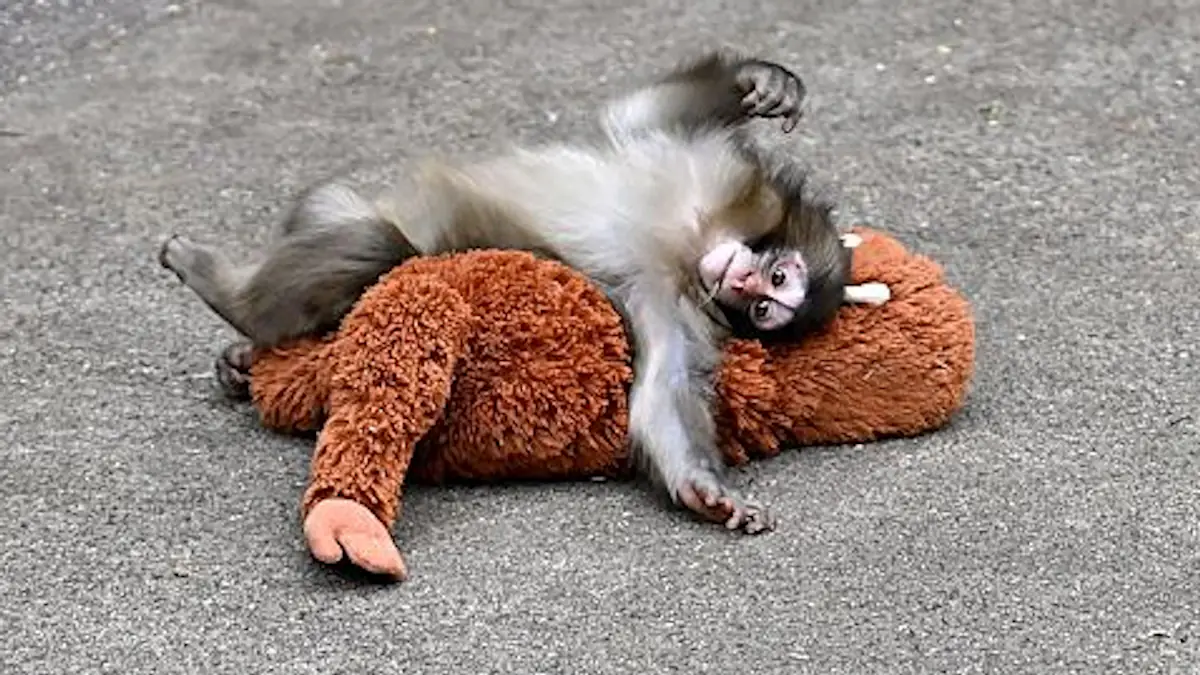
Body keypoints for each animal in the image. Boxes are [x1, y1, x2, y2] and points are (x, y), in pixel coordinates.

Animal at [161, 50, 883, 534]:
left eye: (766, 307)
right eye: (776, 279)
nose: (741, 281)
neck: (693, 241)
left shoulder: (674, 303)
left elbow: (662, 393)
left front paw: (706, 490)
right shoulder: (712, 170)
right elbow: (639, 113)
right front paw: (760, 81)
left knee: (377, 245)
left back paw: (238, 321)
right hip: (332, 204)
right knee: (366, 233)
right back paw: (231, 304)